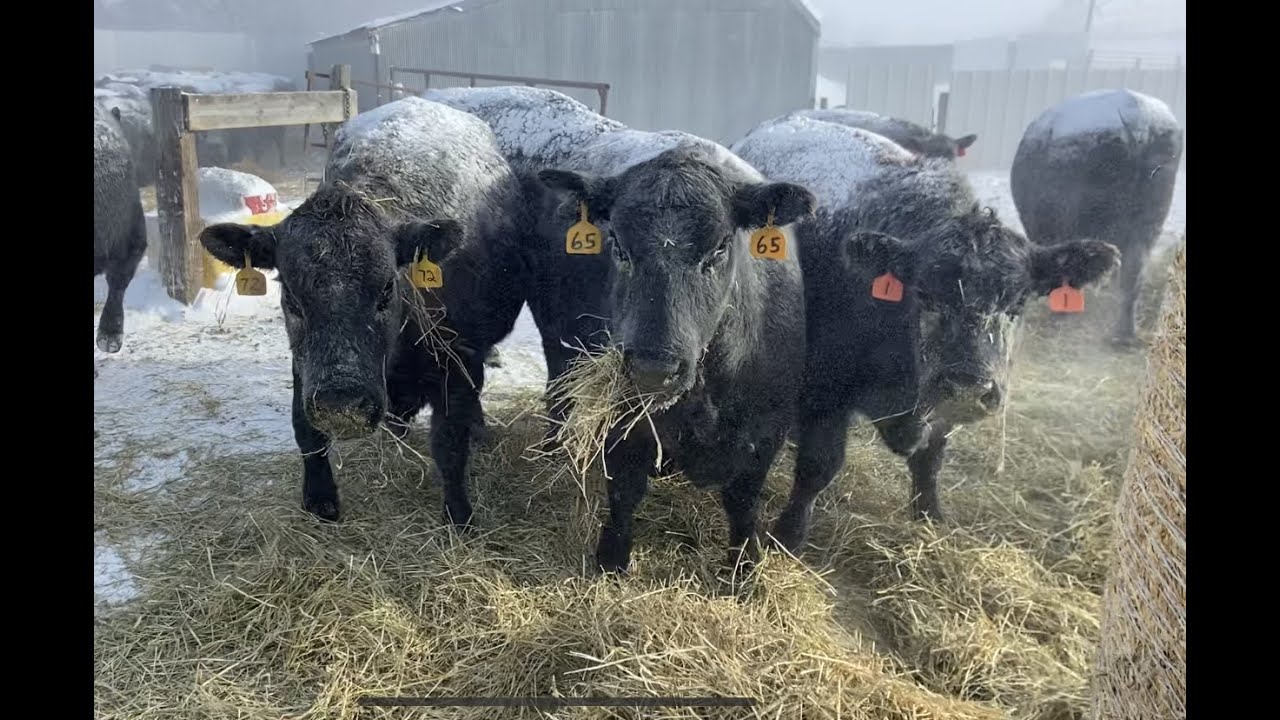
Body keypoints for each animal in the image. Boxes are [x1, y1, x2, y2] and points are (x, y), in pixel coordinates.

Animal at [198, 97, 529, 527]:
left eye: (387, 287)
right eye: (291, 297)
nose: (342, 406)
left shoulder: (458, 364)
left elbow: (450, 445)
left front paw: (459, 514)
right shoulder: (304, 368)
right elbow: (305, 429)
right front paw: (320, 499)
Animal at [534, 137, 816, 573]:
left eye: (719, 248)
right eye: (619, 245)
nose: (654, 369)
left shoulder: (767, 430)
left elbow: (743, 505)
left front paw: (743, 568)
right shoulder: (623, 419)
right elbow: (624, 492)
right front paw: (612, 559)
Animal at [731, 115, 1120, 550]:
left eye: (1018, 304)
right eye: (924, 294)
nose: (968, 386)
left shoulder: (939, 402)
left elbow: (931, 459)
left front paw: (930, 515)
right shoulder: (826, 389)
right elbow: (819, 466)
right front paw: (788, 534)